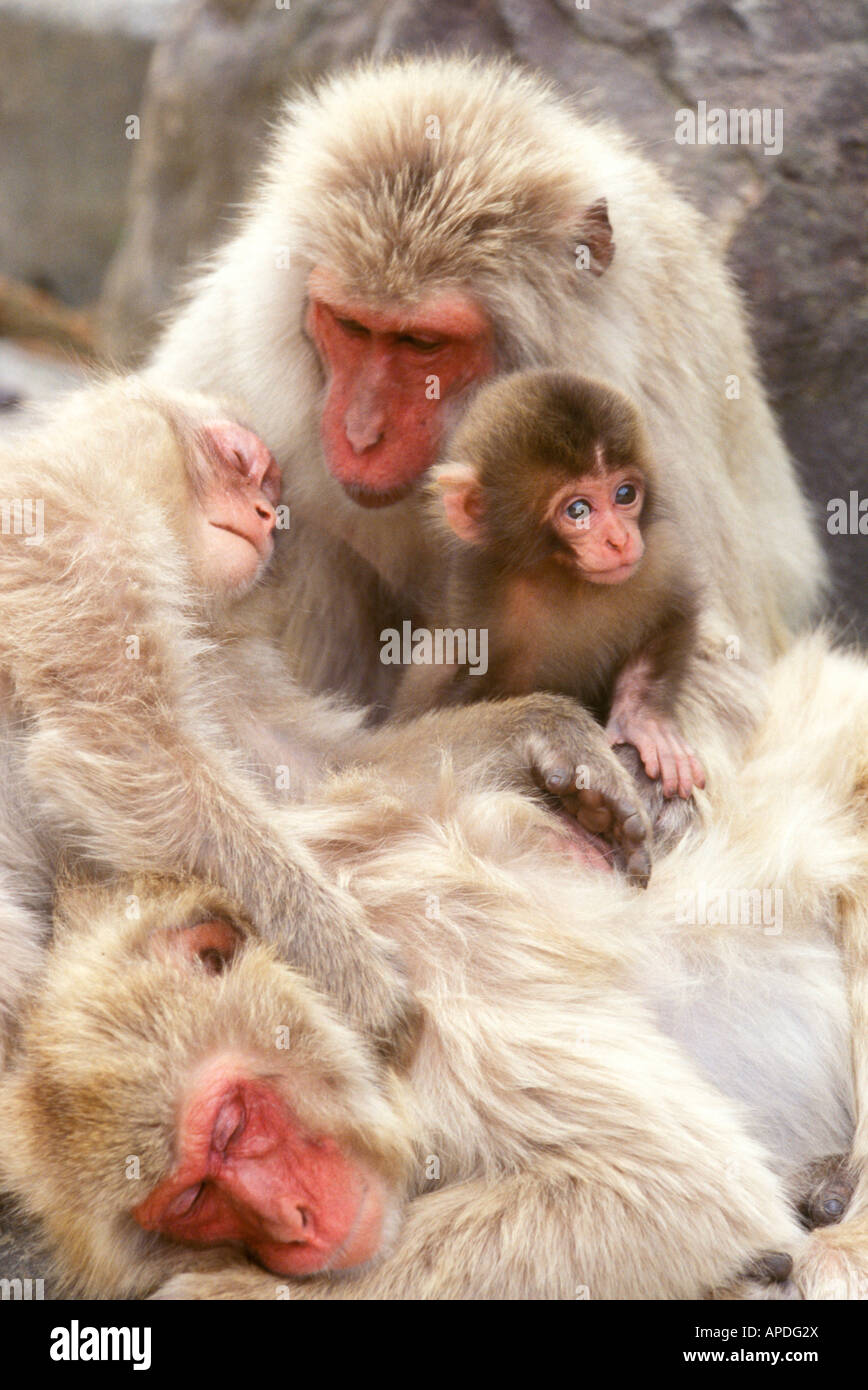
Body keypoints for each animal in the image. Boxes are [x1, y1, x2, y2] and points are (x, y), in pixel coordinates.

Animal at [396, 370, 706, 801]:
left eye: (625, 493)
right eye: (578, 510)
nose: (619, 540)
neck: (564, 577)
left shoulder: (655, 559)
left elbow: (672, 616)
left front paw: (642, 721)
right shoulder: (485, 604)